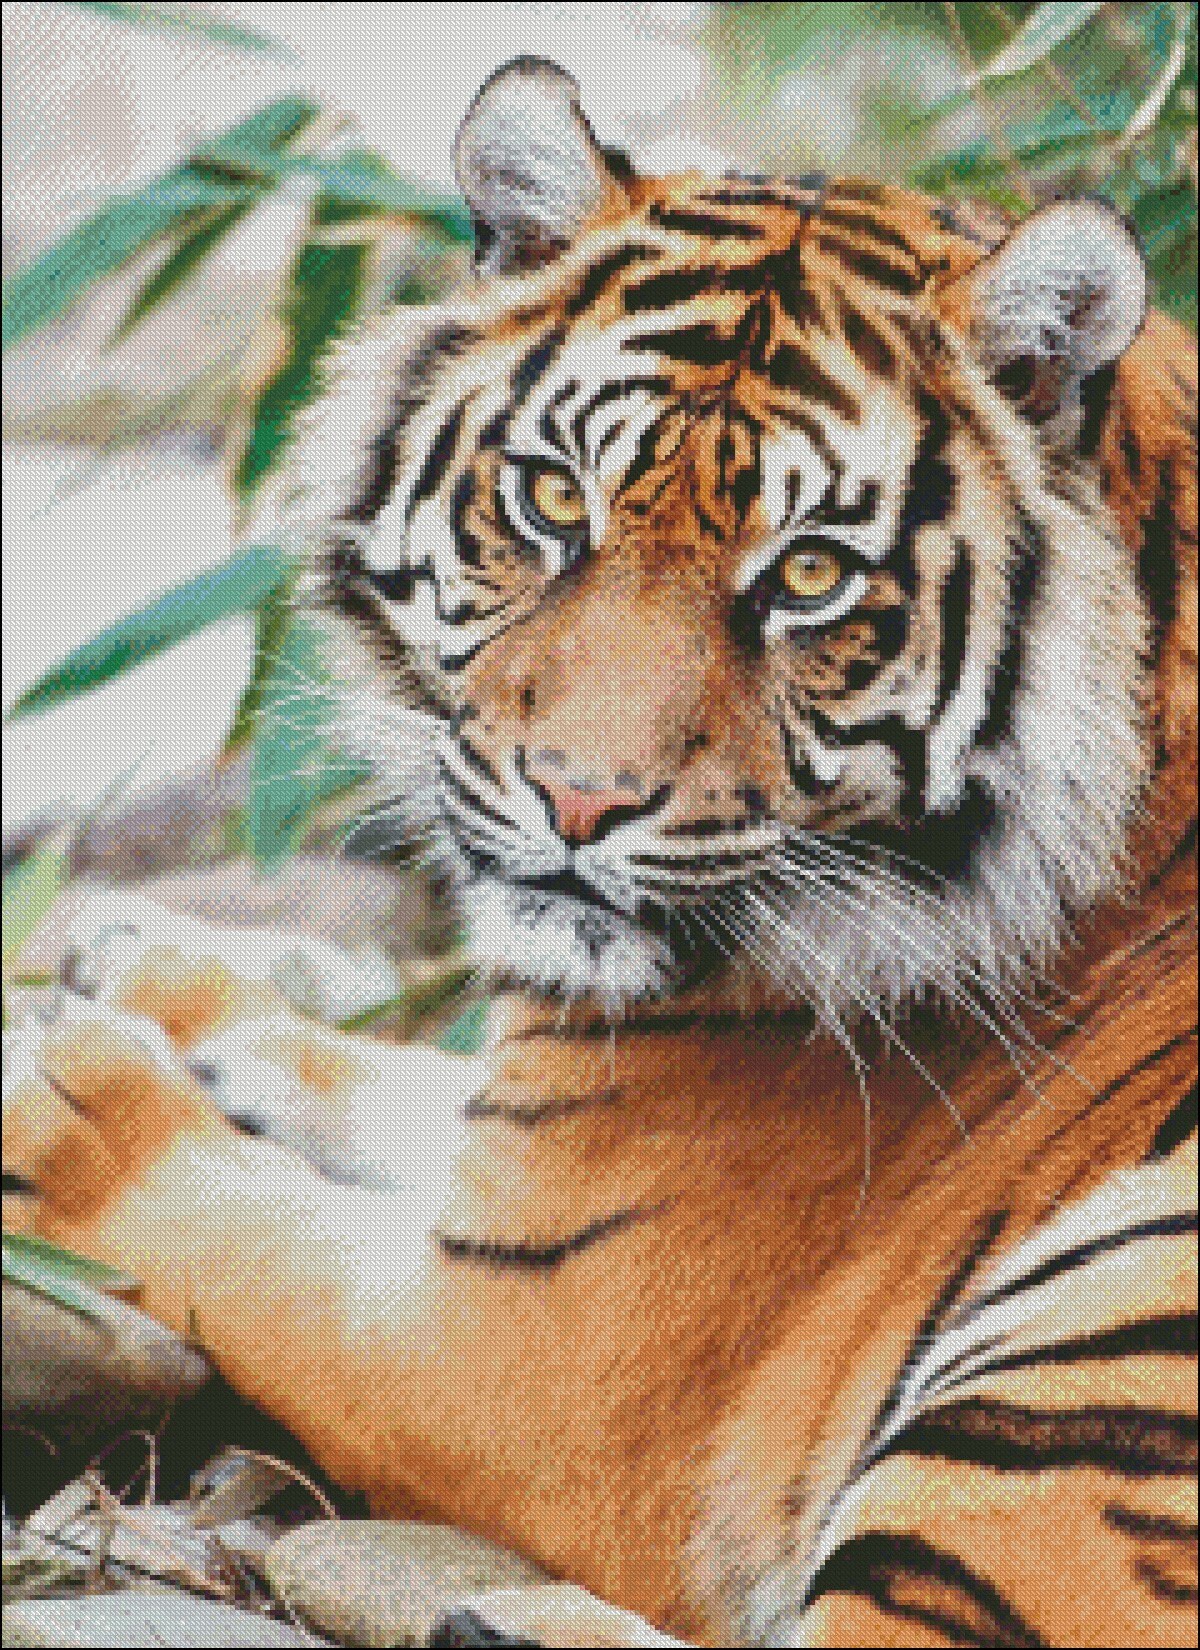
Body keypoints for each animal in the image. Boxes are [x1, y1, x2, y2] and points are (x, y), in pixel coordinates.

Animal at [4, 56, 1197, 1649]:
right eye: (555, 498)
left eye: (808, 575)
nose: (577, 802)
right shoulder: (530, 1169)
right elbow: (412, 1089)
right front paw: (154, 977)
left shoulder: (523, 1352)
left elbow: (251, 1237)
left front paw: (74, 1106)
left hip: (1090, 1356)